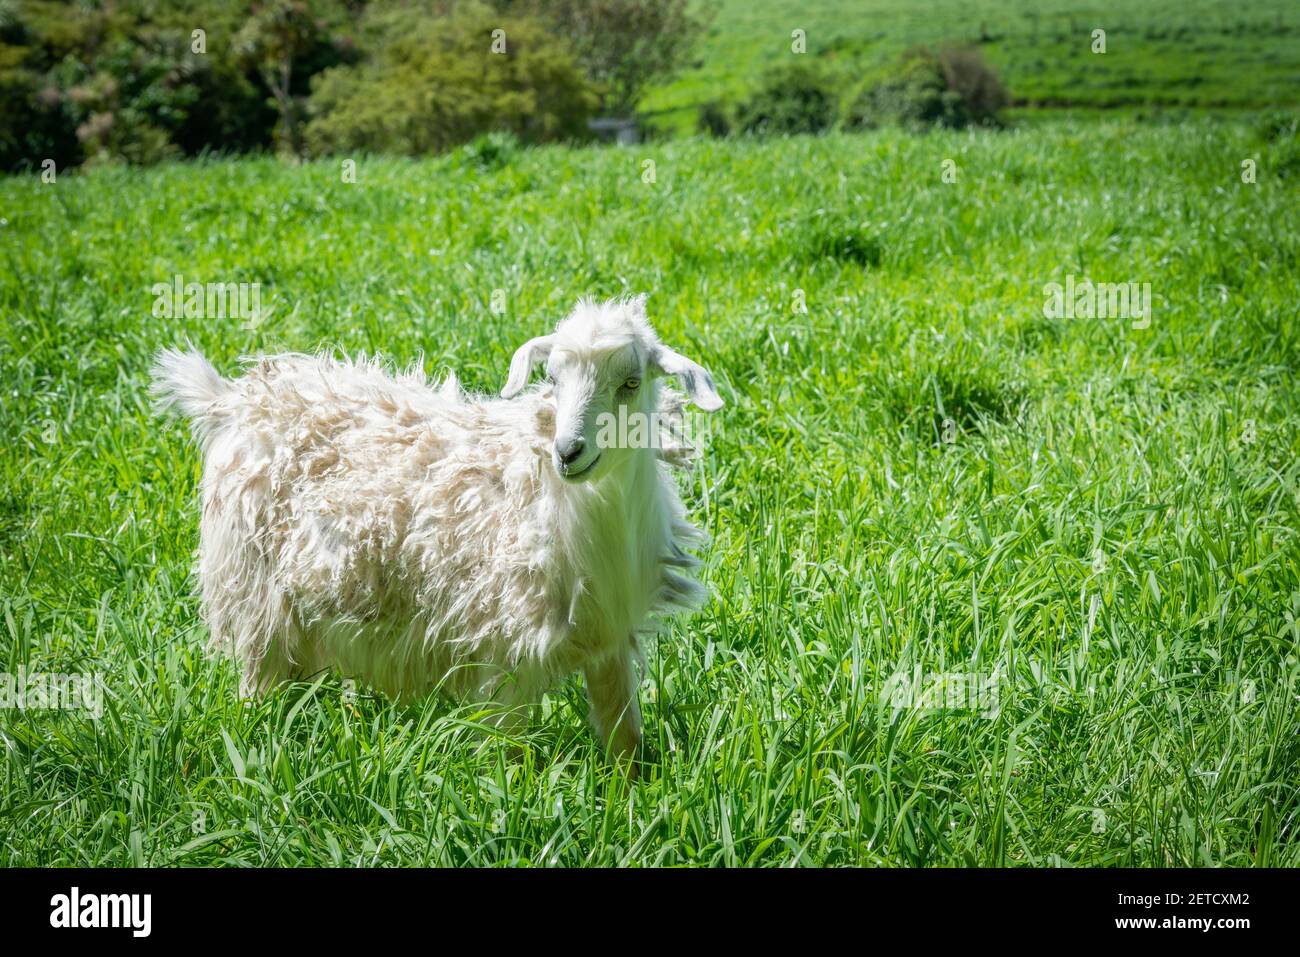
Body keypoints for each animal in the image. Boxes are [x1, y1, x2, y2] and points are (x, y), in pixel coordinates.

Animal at [152, 296, 723, 763]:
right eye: (554, 380)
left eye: (631, 383)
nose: (567, 451)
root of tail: (233, 399)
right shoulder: (503, 648)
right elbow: (509, 753)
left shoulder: (609, 641)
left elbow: (626, 742)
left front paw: (629, 800)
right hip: (254, 594)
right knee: (257, 684)